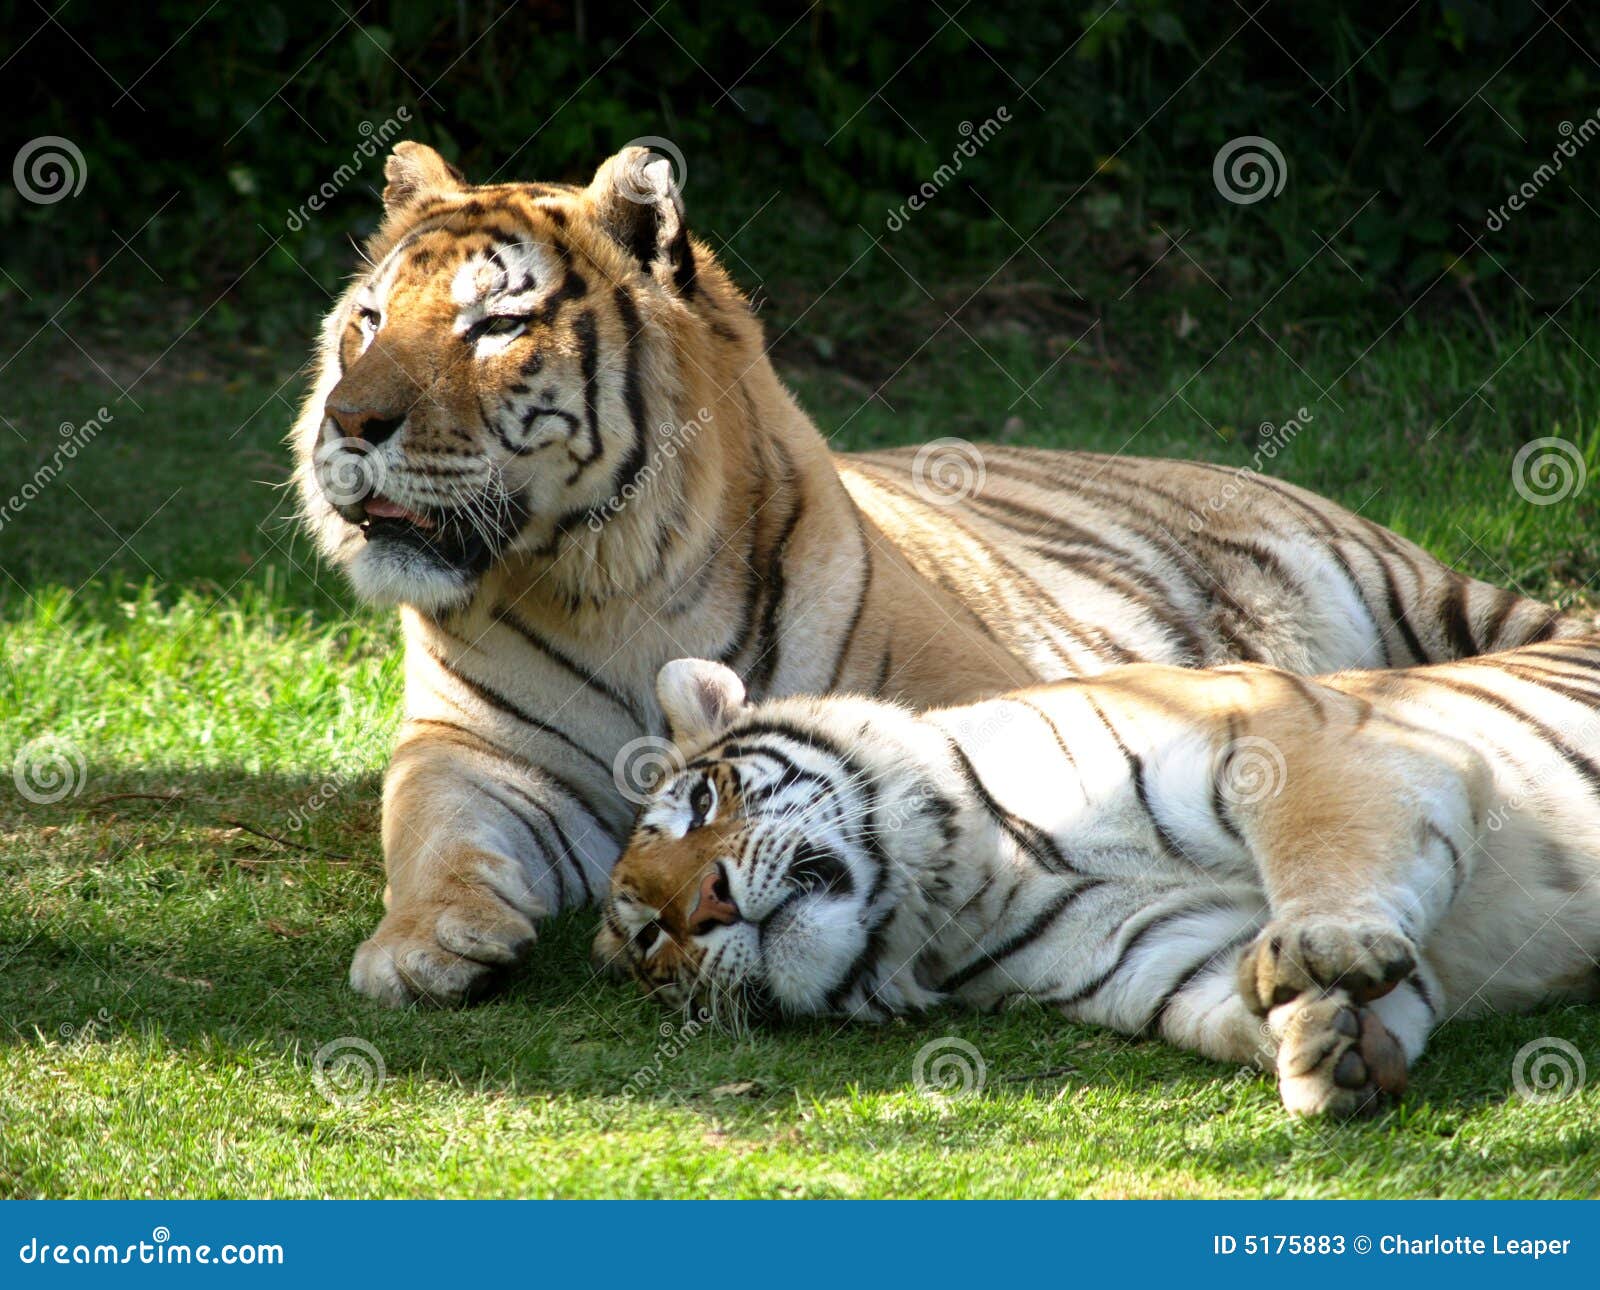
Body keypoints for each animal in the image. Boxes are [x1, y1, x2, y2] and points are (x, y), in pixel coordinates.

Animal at [293, 139, 1591, 1008]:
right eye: (369, 321)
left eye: (494, 327)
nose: (349, 424)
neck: (598, 579)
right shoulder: (471, 747)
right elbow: (430, 826)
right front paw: (426, 944)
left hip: (1398, 582)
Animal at [595, 646, 1600, 1116]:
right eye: (651, 939)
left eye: (701, 800)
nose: (704, 905)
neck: (975, 882)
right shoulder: (1168, 956)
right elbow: (1235, 1009)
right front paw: (1330, 1049)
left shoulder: (1291, 739)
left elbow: (1321, 840)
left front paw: (1321, 943)